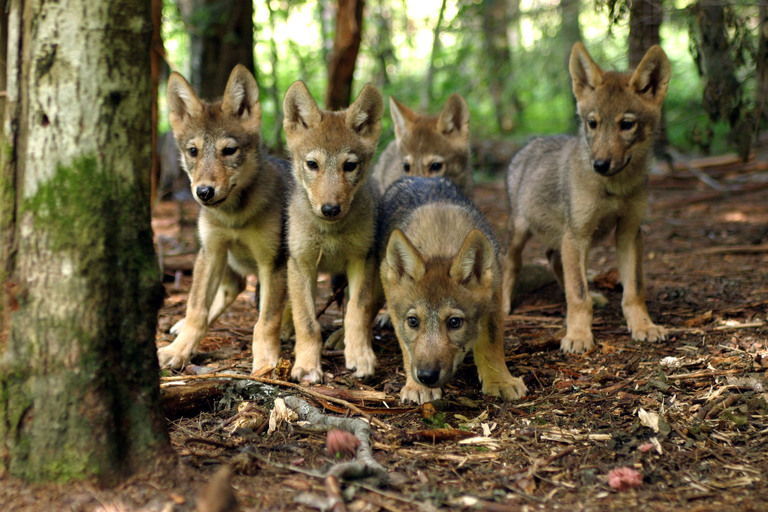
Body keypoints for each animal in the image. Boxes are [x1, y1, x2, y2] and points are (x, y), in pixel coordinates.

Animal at [157, 65, 293, 372]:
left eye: (229, 151)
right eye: (193, 151)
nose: (204, 192)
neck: (234, 217)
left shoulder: (272, 263)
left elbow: (265, 322)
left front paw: (266, 363)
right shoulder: (212, 250)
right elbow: (196, 309)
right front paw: (178, 350)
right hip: (225, 261)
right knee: (232, 290)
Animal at [282, 80, 383, 383]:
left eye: (349, 166)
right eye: (312, 165)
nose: (330, 208)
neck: (330, 233)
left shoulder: (362, 260)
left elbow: (357, 312)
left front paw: (360, 355)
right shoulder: (302, 264)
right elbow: (307, 322)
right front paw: (306, 365)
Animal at [379, 176, 527, 404]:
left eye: (454, 323)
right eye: (413, 322)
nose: (426, 376)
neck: (440, 241)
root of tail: (422, 177)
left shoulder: (495, 292)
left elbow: (491, 344)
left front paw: (500, 381)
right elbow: (408, 348)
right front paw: (416, 387)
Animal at [501, 42, 671, 353]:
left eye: (626, 124)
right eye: (592, 123)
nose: (600, 164)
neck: (614, 188)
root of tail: (529, 144)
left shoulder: (629, 232)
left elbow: (634, 290)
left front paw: (644, 326)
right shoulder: (577, 235)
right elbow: (578, 295)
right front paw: (578, 336)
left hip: (584, 237)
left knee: (554, 259)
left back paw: (597, 296)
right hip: (524, 233)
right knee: (512, 264)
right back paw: (505, 305)